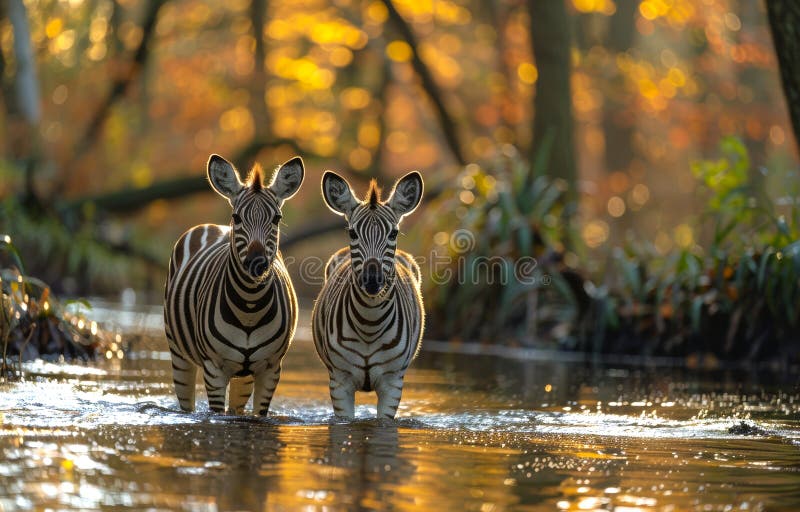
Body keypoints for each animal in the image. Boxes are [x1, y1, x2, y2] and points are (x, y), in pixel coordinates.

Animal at [164, 153, 304, 415]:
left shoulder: (271, 369)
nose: (257, 263)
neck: (250, 306)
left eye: (277, 219)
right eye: (237, 217)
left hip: (244, 376)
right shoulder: (213, 369)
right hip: (178, 354)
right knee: (185, 401)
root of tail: (213, 226)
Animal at [312, 171, 424, 419]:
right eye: (352, 233)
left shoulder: (392, 384)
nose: (372, 280)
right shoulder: (340, 382)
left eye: (393, 233)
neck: (369, 323)